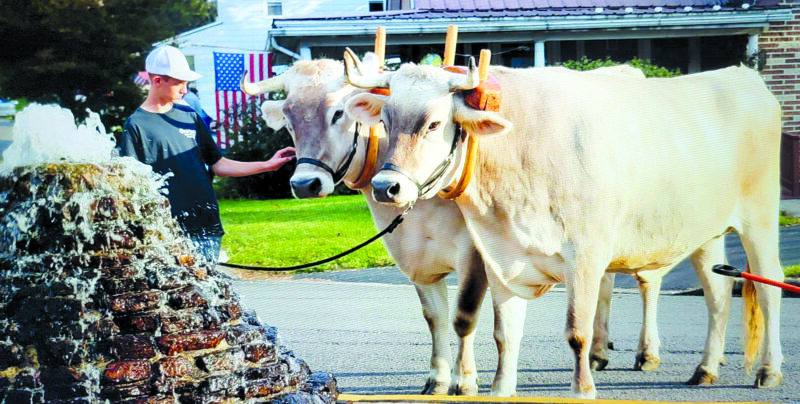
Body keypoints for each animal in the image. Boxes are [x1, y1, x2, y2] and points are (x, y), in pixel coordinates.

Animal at [240, 55, 666, 396]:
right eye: (289, 119)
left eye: (338, 113)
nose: (304, 184)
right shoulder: (416, 258)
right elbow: (435, 318)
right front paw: (437, 378)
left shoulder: (476, 253)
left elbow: (463, 317)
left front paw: (465, 381)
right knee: (605, 282)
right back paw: (598, 351)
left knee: (647, 282)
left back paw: (646, 353)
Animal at [344, 57, 783, 398]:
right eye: (385, 119)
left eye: (434, 124)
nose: (386, 187)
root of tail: (742, 75)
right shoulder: (501, 258)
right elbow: (505, 334)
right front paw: (500, 390)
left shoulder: (586, 258)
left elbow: (578, 332)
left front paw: (583, 389)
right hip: (707, 233)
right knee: (718, 294)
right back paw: (706, 368)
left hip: (760, 218)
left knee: (767, 287)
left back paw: (768, 371)